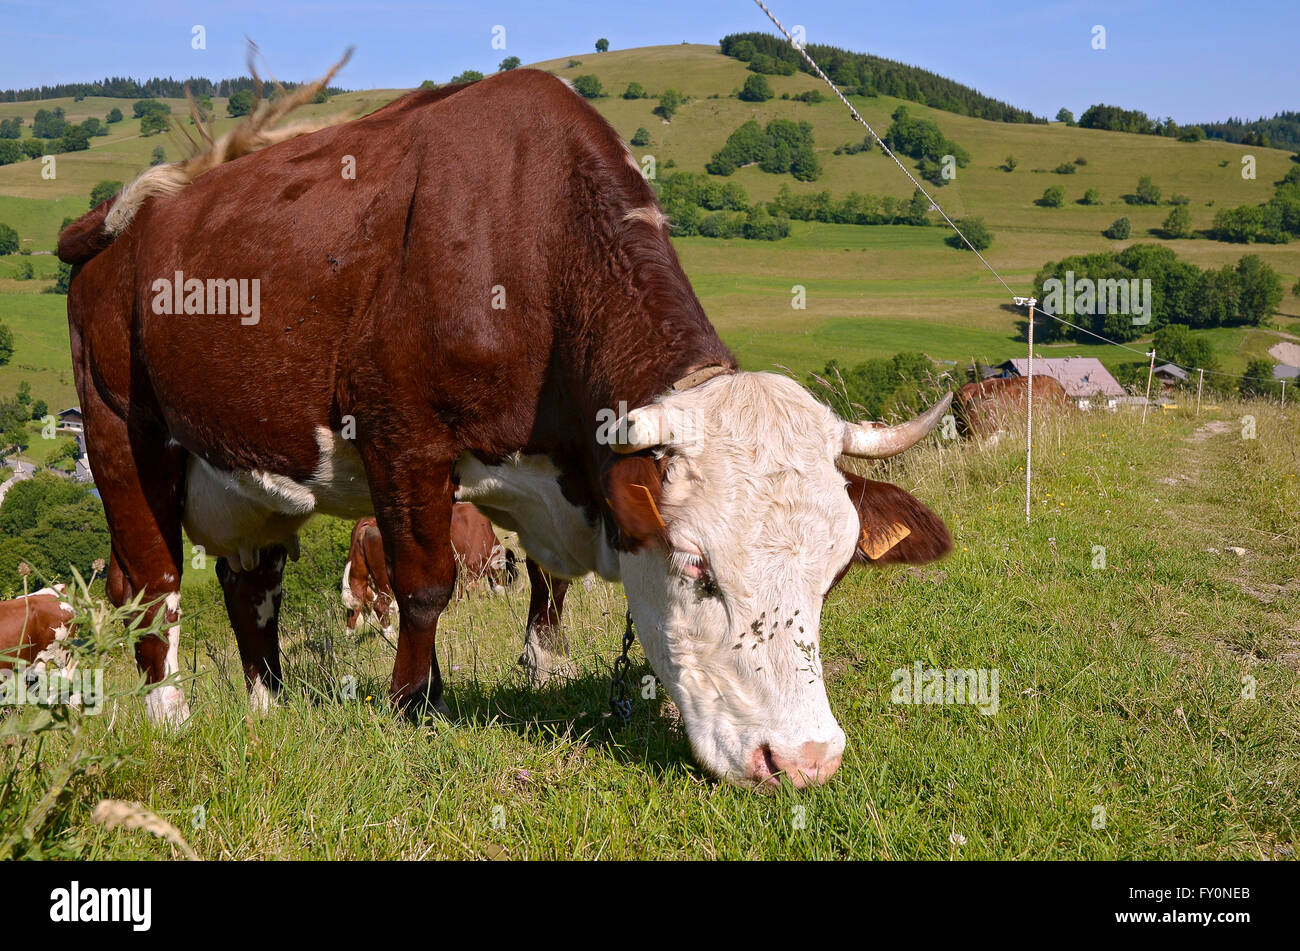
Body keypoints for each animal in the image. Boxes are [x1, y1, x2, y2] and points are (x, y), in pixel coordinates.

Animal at [58, 65, 952, 788]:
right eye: (697, 567)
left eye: (835, 572)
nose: (804, 761)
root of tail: (118, 219)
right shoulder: (403, 437)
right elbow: (425, 584)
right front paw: (413, 703)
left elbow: (547, 580)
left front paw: (546, 663)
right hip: (118, 430)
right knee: (153, 582)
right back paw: (169, 712)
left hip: (248, 475)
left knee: (253, 585)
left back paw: (266, 706)